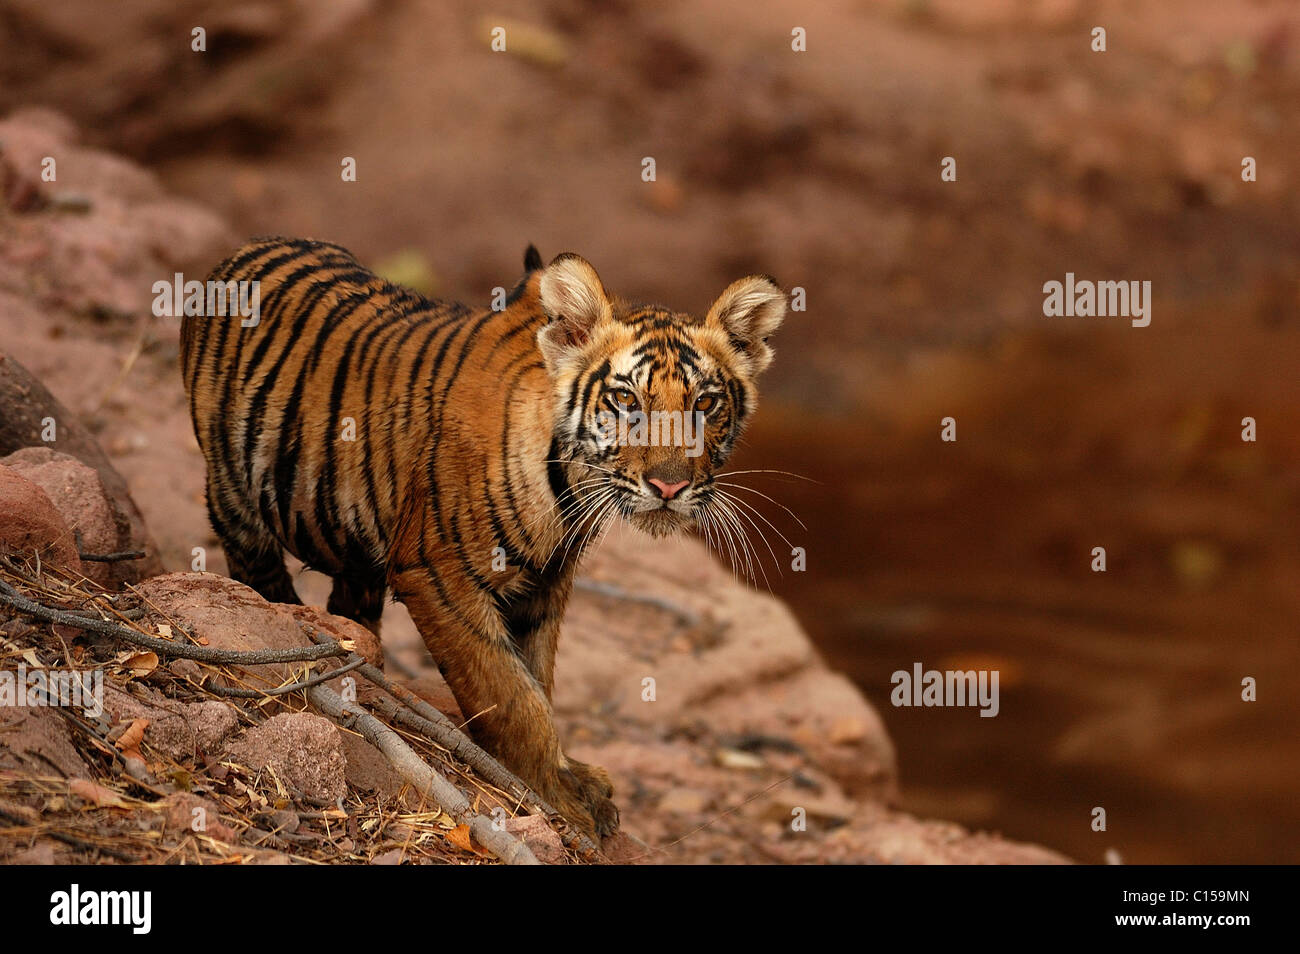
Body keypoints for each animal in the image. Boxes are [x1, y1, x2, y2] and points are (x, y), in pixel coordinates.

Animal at [179, 237, 786, 839]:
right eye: (625, 401)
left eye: (705, 404)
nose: (670, 485)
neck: (569, 487)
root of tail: (246, 250)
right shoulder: (438, 573)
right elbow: (509, 694)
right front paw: (558, 800)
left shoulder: (545, 582)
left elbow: (537, 681)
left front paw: (570, 776)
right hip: (234, 494)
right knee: (259, 569)